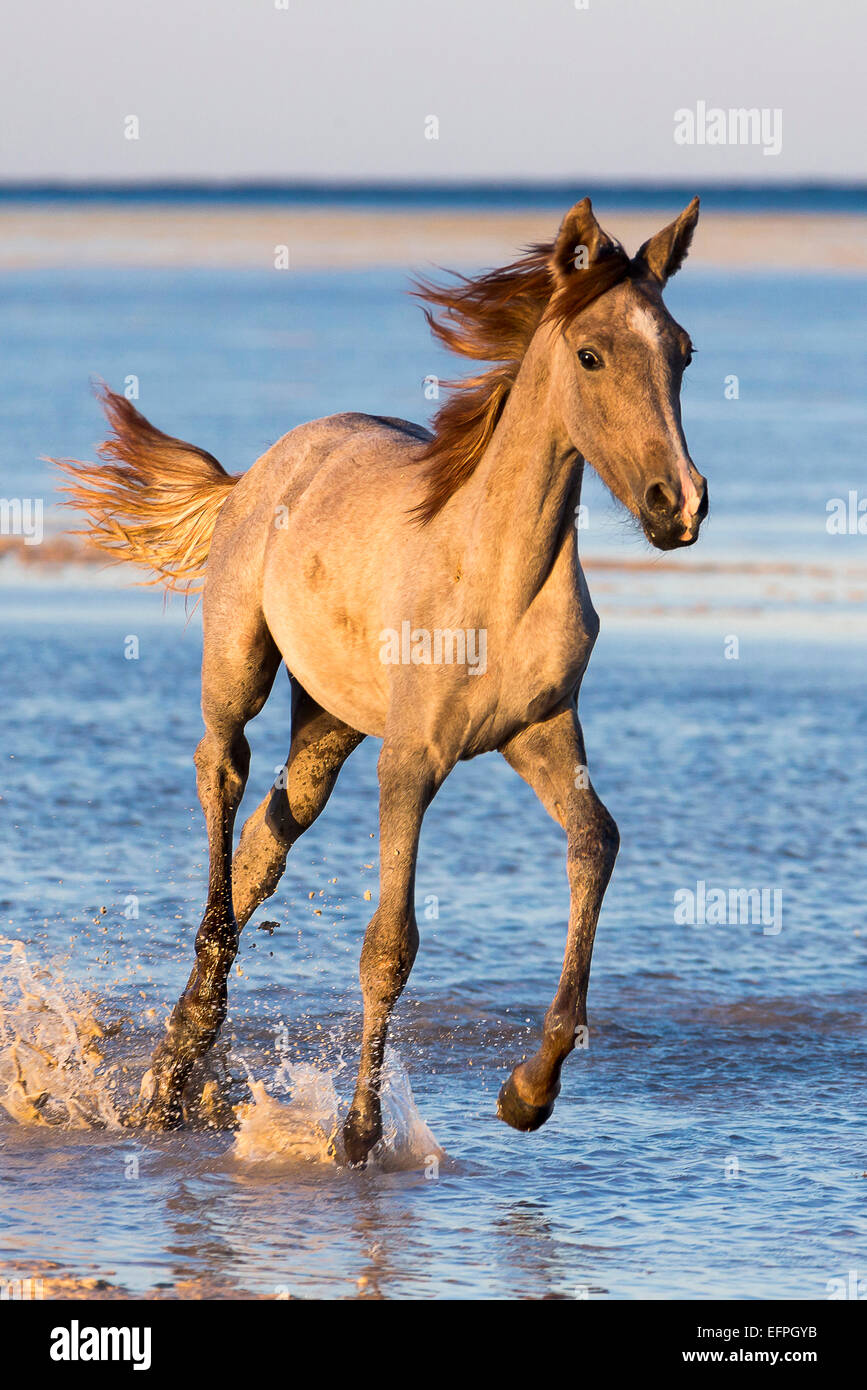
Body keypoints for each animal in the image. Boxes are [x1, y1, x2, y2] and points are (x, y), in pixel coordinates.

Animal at [56, 196, 708, 1165]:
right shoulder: (412, 758)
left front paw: (528, 1092)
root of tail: (261, 468)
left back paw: (176, 1068)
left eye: (683, 351)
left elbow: (596, 843)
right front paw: (358, 1132)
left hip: (329, 721)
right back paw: (191, 1039)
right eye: (592, 354)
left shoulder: (543, 732)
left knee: (267, 840)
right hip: (240, 666)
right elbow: (389, 943)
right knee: (222, 772)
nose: (679, 505)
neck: (497, 577)